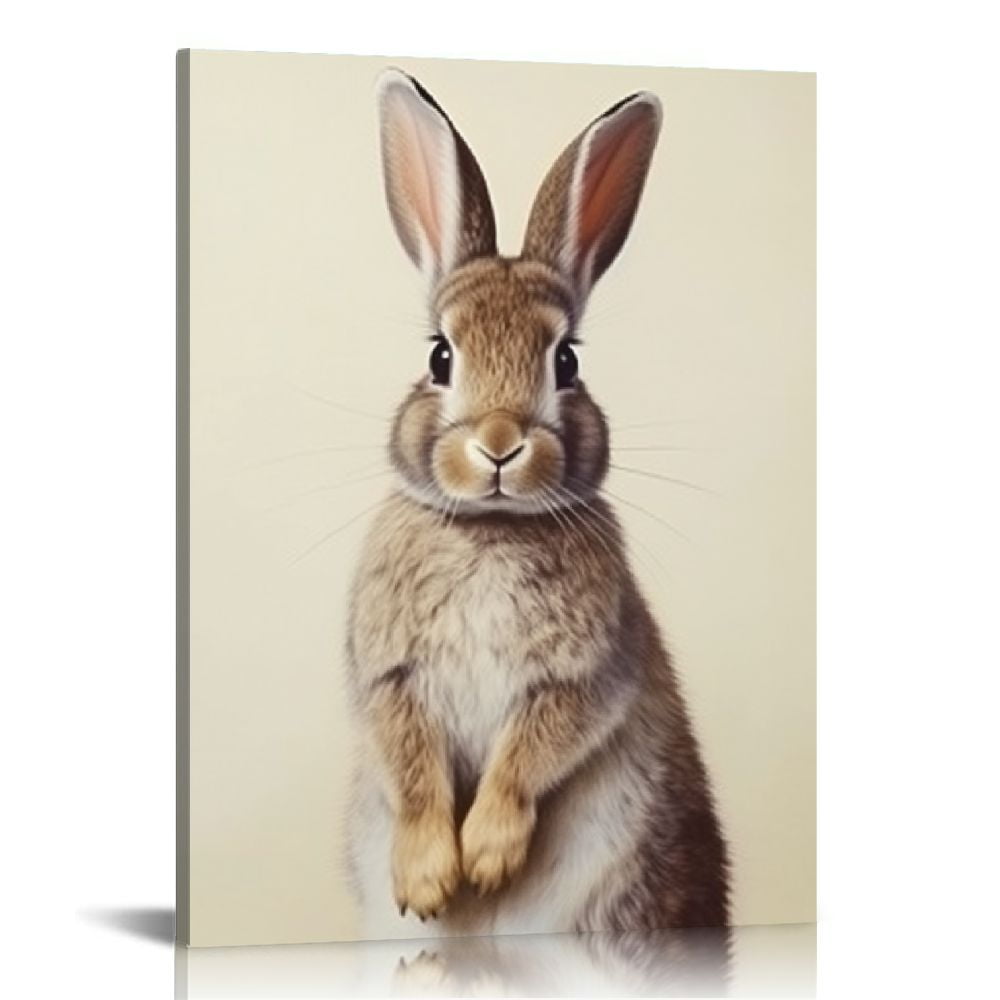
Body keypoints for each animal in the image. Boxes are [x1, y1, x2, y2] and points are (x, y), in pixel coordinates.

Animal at [343, 67, 728, 941]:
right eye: (440, 356)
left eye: (567, 362)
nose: (498, 443)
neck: (490, 530)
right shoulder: (390, 676)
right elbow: (414, 773)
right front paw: (428, 882)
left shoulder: (583, 676)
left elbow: (529, 756)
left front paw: (485, 857)